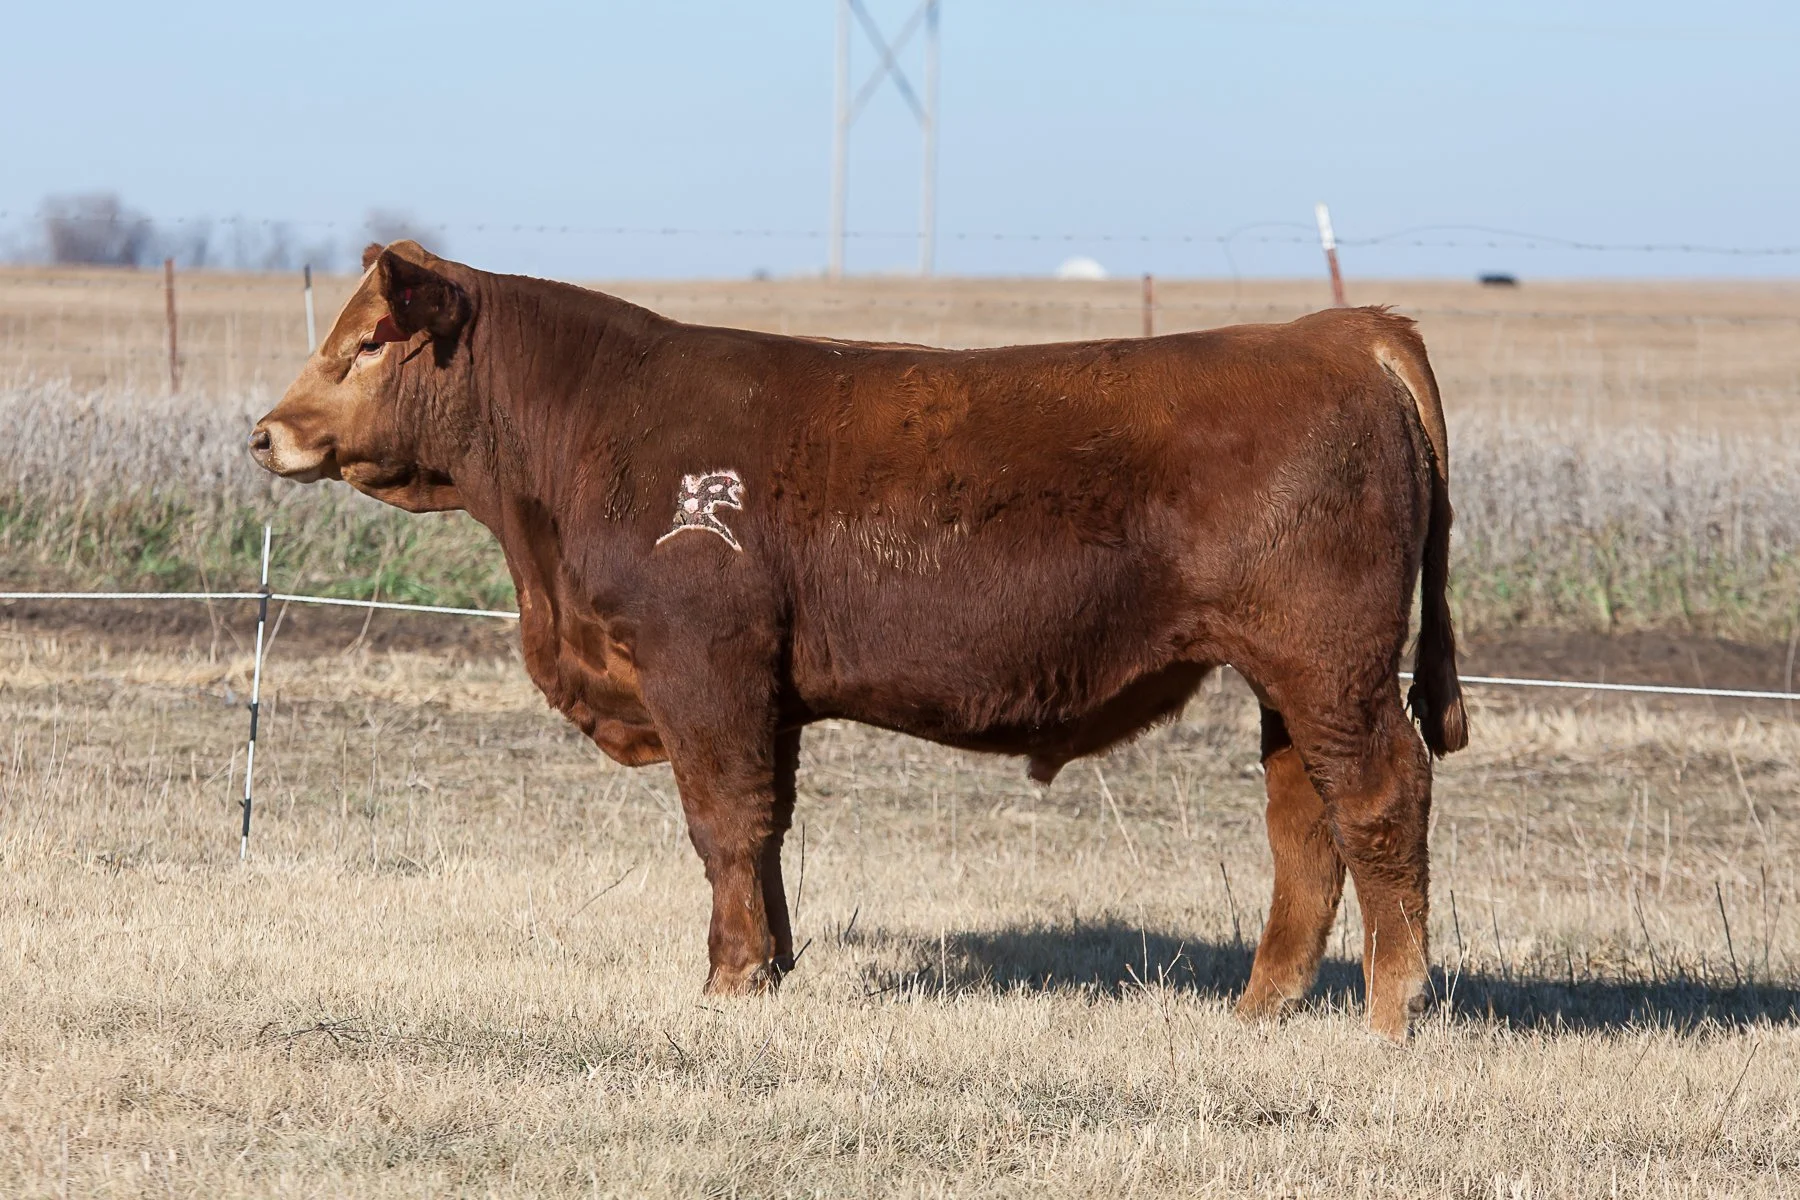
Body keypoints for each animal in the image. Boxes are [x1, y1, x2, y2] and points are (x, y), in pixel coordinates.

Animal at [250, 242, 1467, 1040]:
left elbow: (725, 824)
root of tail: (1339, 332)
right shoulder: (762, 693)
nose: (267, 432)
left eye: (373, 339)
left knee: (1380, 797)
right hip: (1289, 679)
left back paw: (1391, 1010)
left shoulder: (705, 669)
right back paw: (1262, 1005)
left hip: (1334, 665)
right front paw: (774, 967)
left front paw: (731, 981)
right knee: (1303, 821)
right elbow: (767, 828)